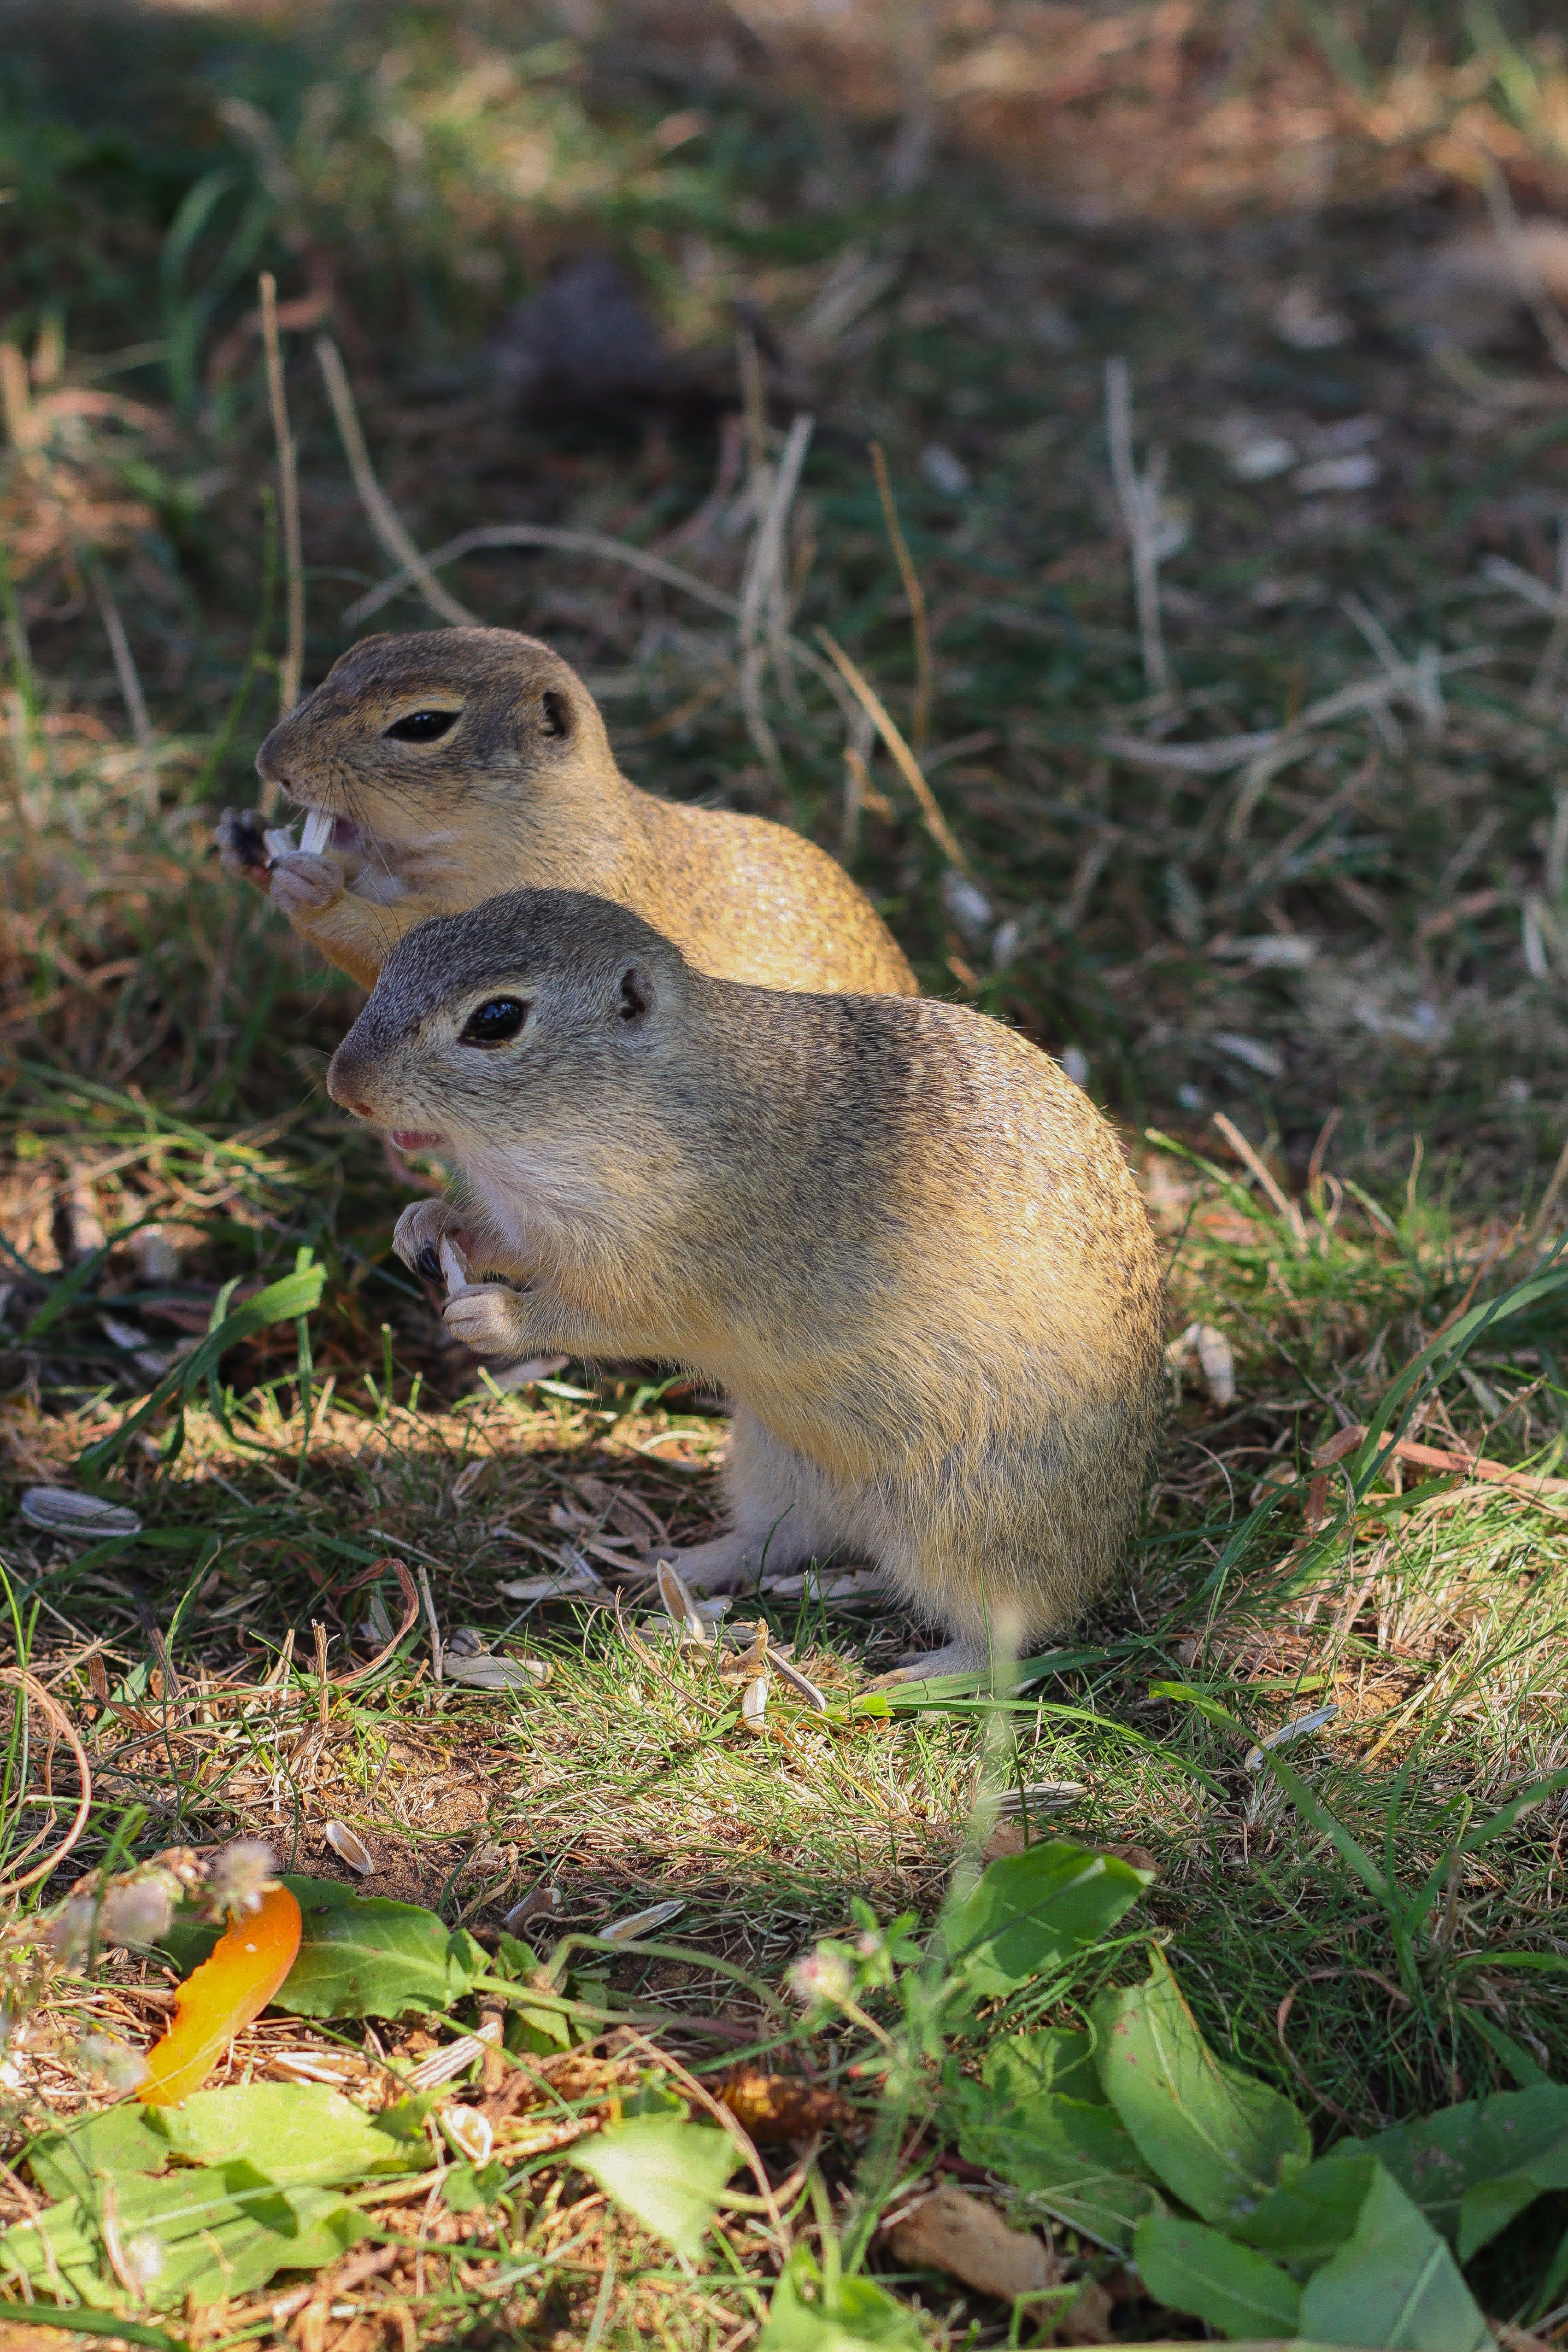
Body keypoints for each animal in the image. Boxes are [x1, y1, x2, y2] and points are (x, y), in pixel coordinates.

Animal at [216, 627, 916, 997]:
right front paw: (244, 839)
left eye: (423, 724)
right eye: (351, 655)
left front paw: (314, 892)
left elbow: (387, 948)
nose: (269, 763)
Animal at [324, 890, 1164, 1680]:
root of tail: (1103, 1552)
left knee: (1007, 1641)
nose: (342, 1085)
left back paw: (917, 1677)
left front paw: (494, 1316)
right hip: (773, 1466)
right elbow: (498, 1240)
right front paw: (425, 1223)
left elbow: (593, 1318)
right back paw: (677, 1564)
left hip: (972, 1530)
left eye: (496, 1019)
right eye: (408, 946)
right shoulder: (533, 1225)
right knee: (776, 1542)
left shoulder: (658, 1272)